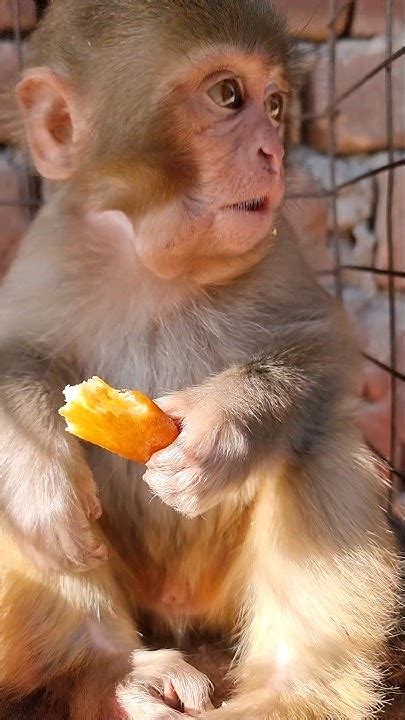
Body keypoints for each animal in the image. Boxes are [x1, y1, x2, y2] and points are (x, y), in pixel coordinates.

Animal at [0, 1, 399, 718]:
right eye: (227, 96)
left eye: (275, 104)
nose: (273, 153)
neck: (161, 266)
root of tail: (178, 608)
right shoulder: (52, 246)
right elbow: (19, 357)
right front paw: (39, 478)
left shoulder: (279, 250)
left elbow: (324, 350)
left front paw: (225, 428)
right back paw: (115, 672)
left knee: (319, 441)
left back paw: (291, 690)